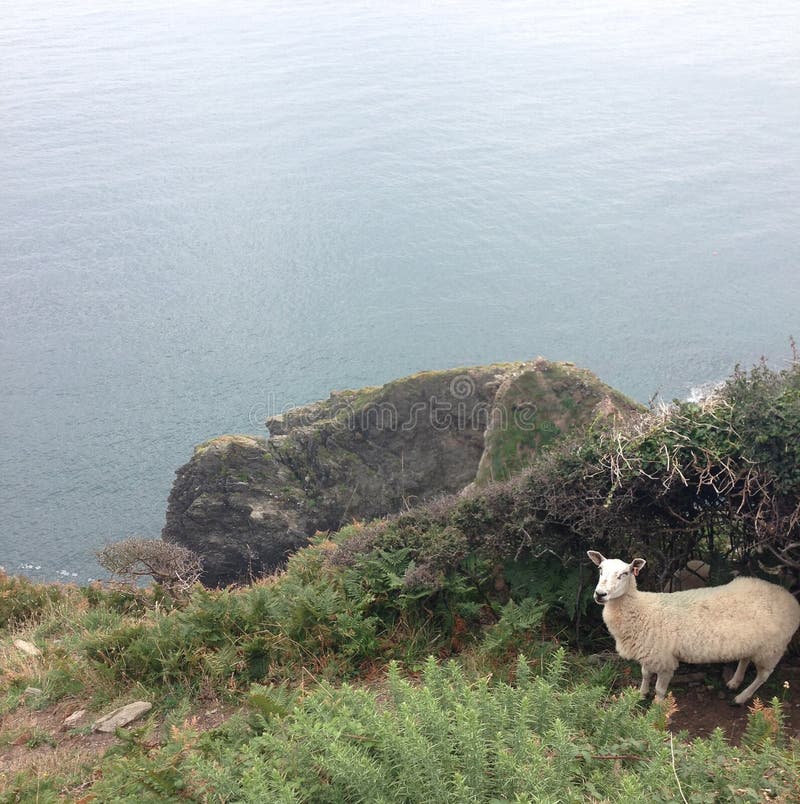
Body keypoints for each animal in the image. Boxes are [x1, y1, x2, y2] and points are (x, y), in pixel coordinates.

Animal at [587, 550, 800, 704]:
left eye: (624, 574)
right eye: (600, 569)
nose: (600, 594)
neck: (641, 609)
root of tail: (788, 596)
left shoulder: (664, 658)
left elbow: (660, 689)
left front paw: (656, 709)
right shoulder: (650, 652)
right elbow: (645, 675)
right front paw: (640, 695)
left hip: (772, 648)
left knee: (763, 676)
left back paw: (741, 697)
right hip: (753, 642)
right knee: (745, 658)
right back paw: (734, 682)